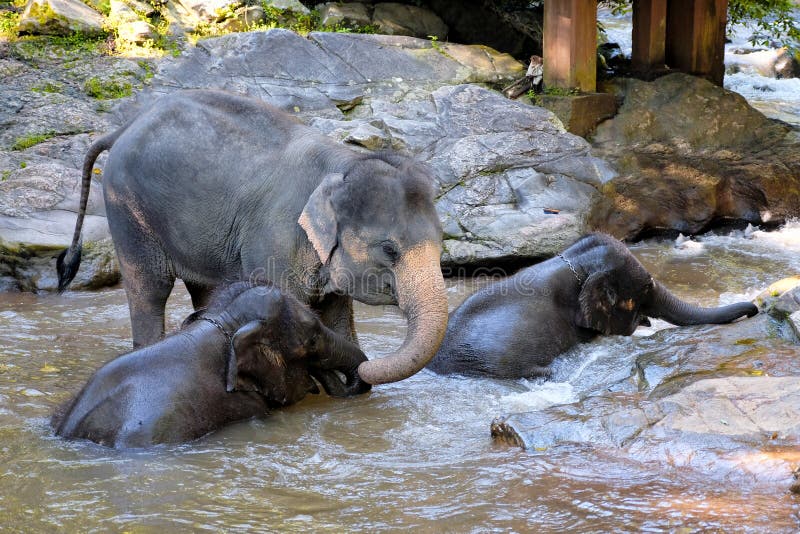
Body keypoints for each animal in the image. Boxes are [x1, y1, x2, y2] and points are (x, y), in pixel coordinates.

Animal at [57, 89, 448, 386]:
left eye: (442, 244)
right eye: (389, 249)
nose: (366, 368)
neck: (346, 163)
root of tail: (123, 127)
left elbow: (337, 316)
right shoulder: (276, 237)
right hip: (128, 208)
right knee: (149, 290)